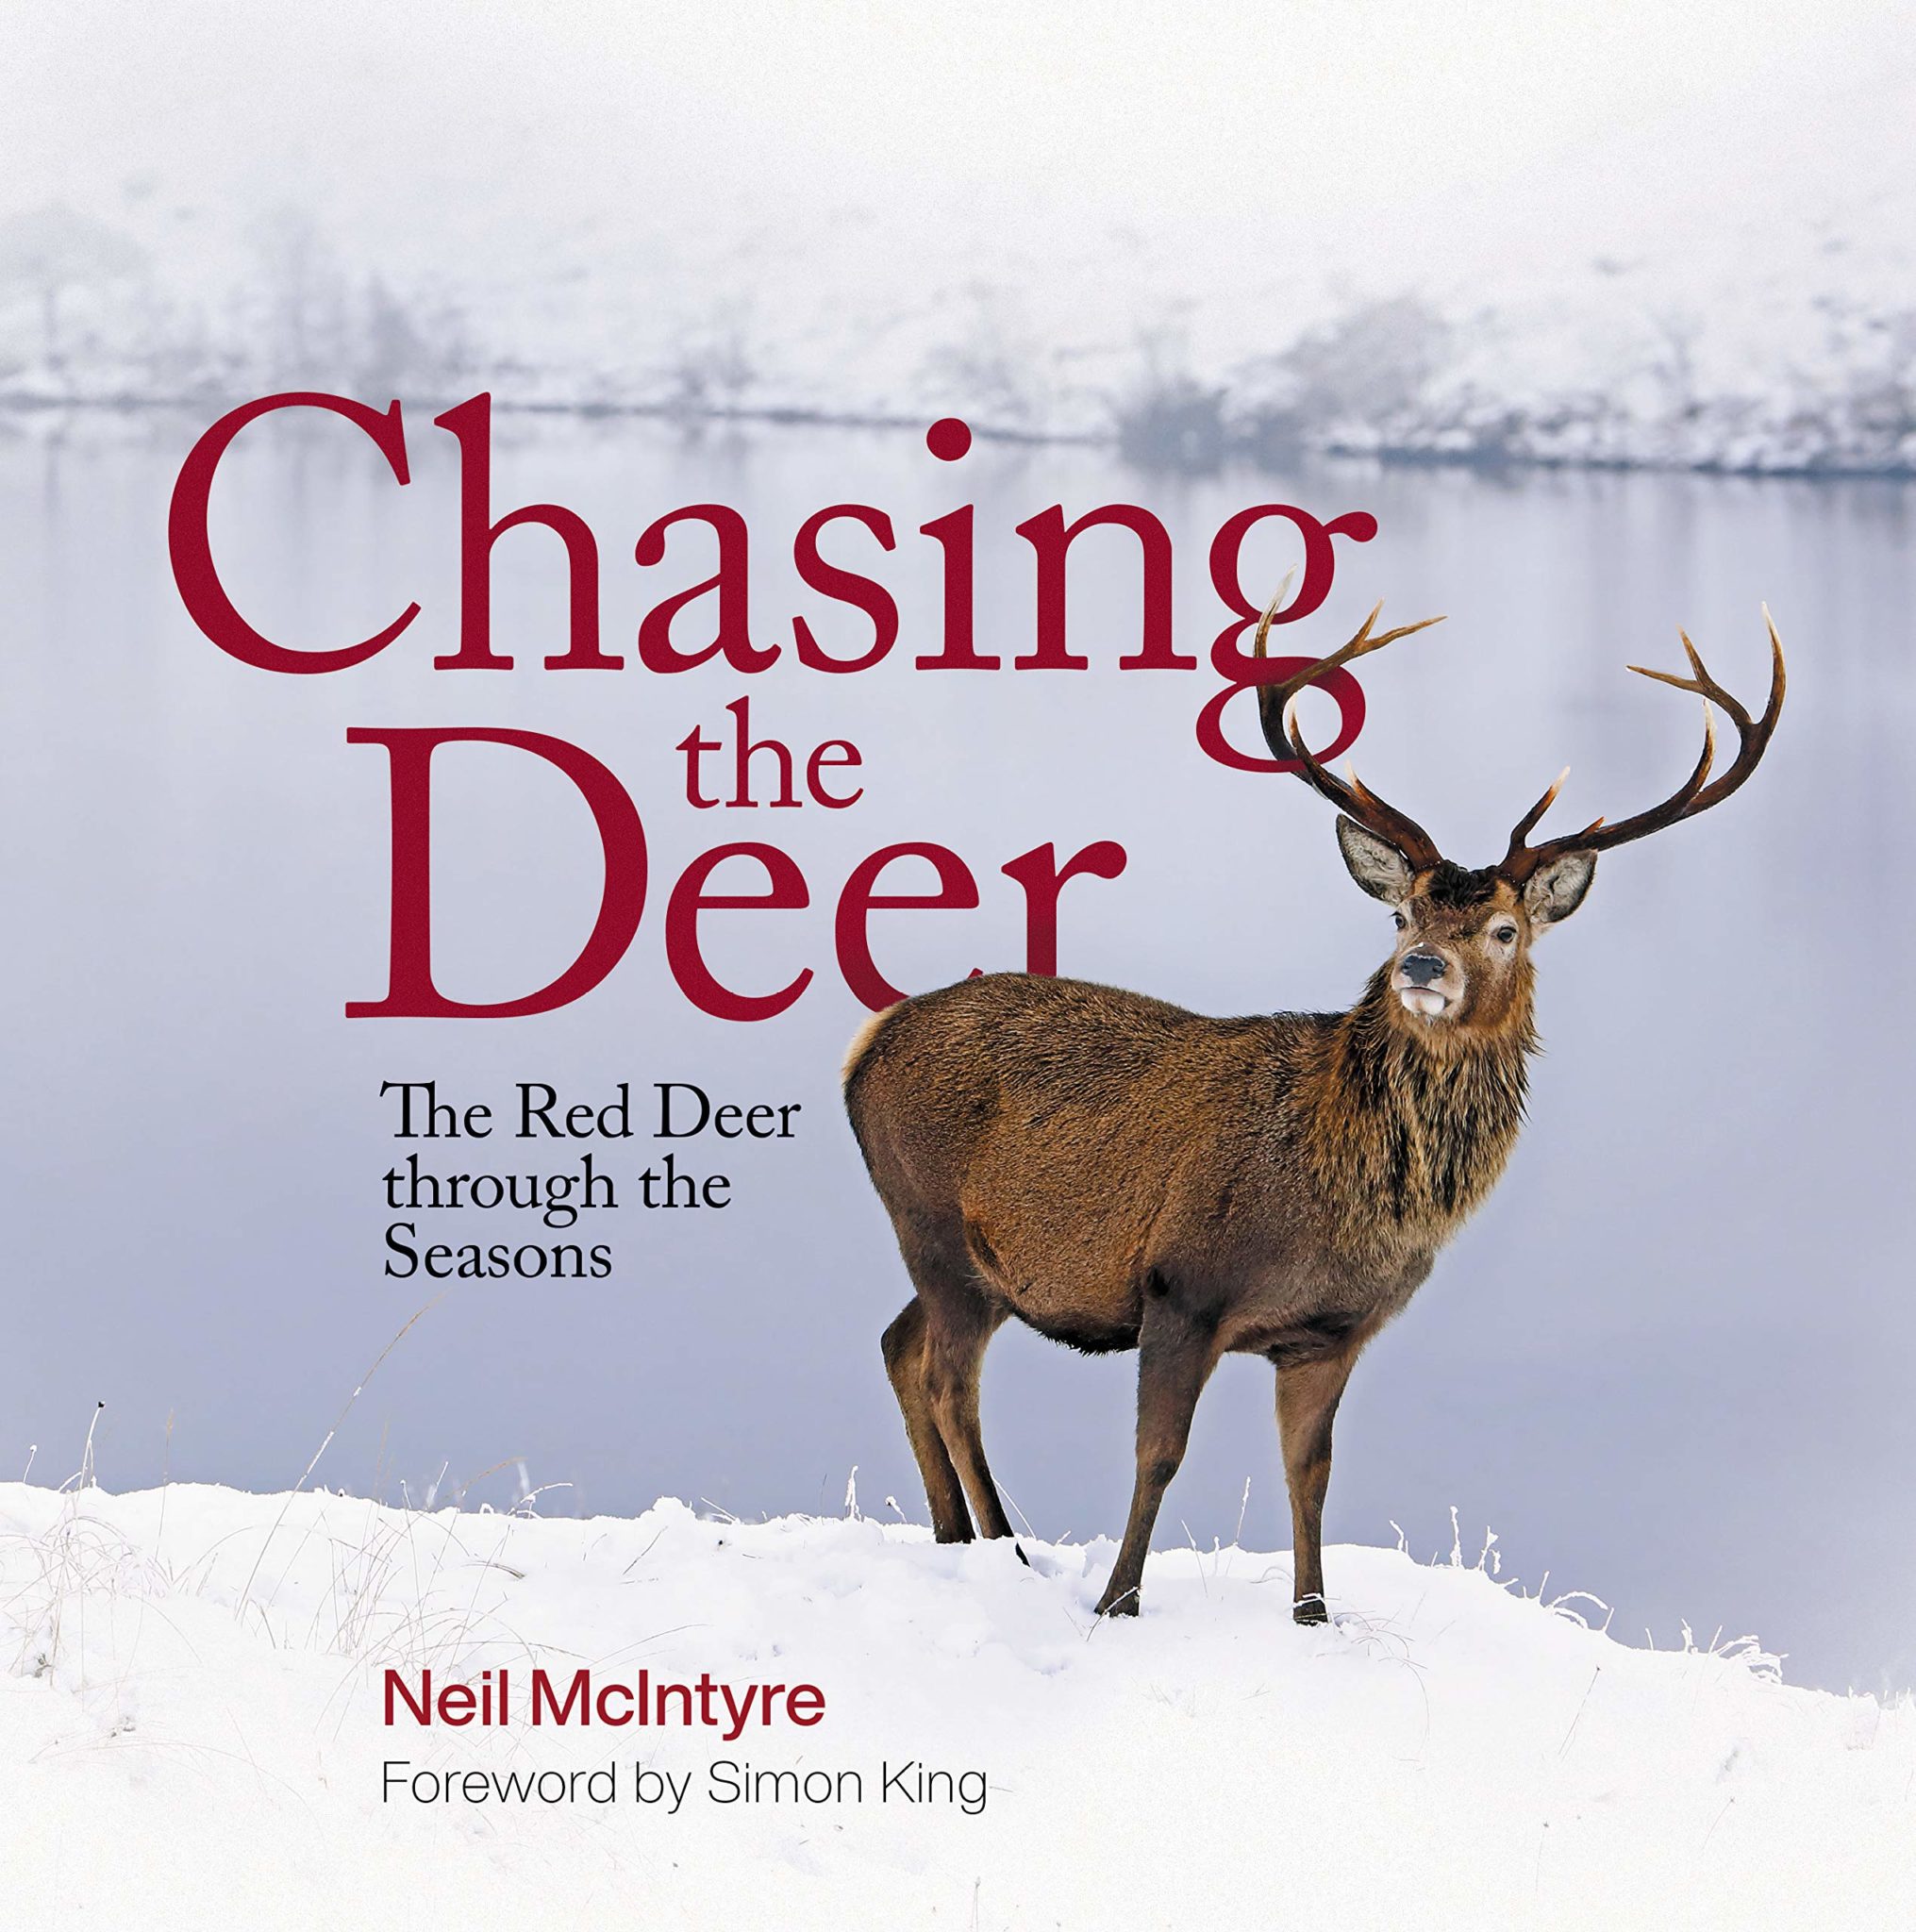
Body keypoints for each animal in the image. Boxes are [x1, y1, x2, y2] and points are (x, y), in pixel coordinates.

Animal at [843, 596, 1784, 1621]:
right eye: (1403, 915)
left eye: (1505, 929)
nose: (1423, 966)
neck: (1338, 1193)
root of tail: (863, 1047)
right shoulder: (1181, 1282)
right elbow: (1159, 1454)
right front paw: (1118, 1601)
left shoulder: (1332, 1331)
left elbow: (1312, 1471)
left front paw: (1314, 1614)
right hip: (933, 1224)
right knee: (947, 1377)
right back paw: (1004, 1550)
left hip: (969, 1261)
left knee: (898, 1343)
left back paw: (959, 1537)